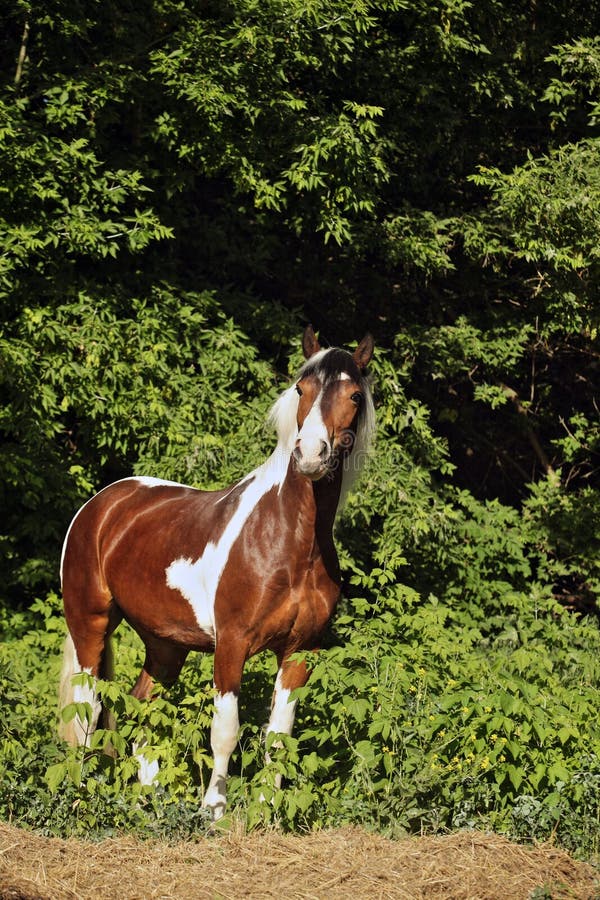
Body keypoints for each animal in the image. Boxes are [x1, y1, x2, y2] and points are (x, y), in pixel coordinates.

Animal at [59, 325, 375, 819]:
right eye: (300, 388)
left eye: (355, 395)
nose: (310, 454)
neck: (291, 543)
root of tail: (101, 505)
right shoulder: (231, 645)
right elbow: (226, 730)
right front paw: (214, 809)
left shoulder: (301, 651)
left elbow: (278, 736)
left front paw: (266, 809)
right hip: (90, 624)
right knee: (87, 709)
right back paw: (83, 794)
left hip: (164, 646)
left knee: (144, 705)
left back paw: (151, 797)